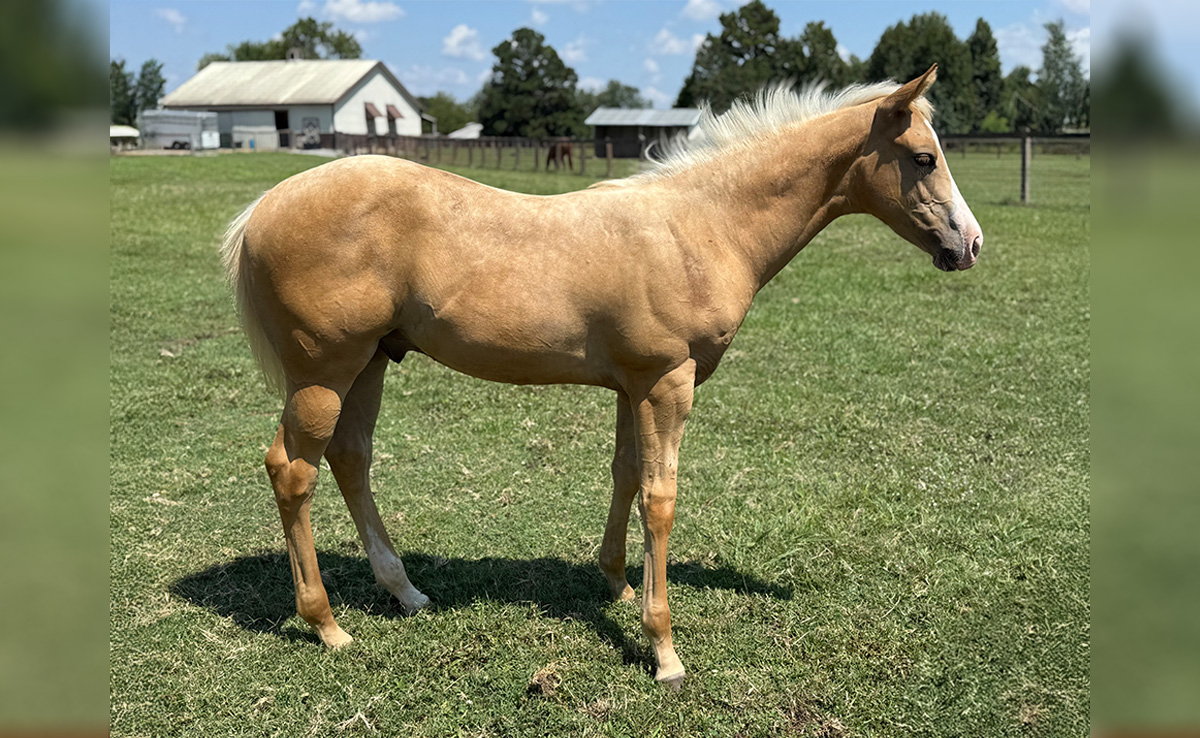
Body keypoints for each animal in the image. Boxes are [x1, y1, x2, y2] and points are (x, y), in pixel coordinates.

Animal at [220, 65, 982, 688]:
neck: (702, 227)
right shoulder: (669, 382)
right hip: (324, 372)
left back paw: (404, 593)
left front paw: (616, 584)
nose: (970, 245)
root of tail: (260, 210)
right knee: (293, 471)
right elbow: (660, 498)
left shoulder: (633, 384)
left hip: (372, 362)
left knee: (350, 459)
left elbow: (624, 474)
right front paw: (664, 649)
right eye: (923, 158)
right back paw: (326, 624)